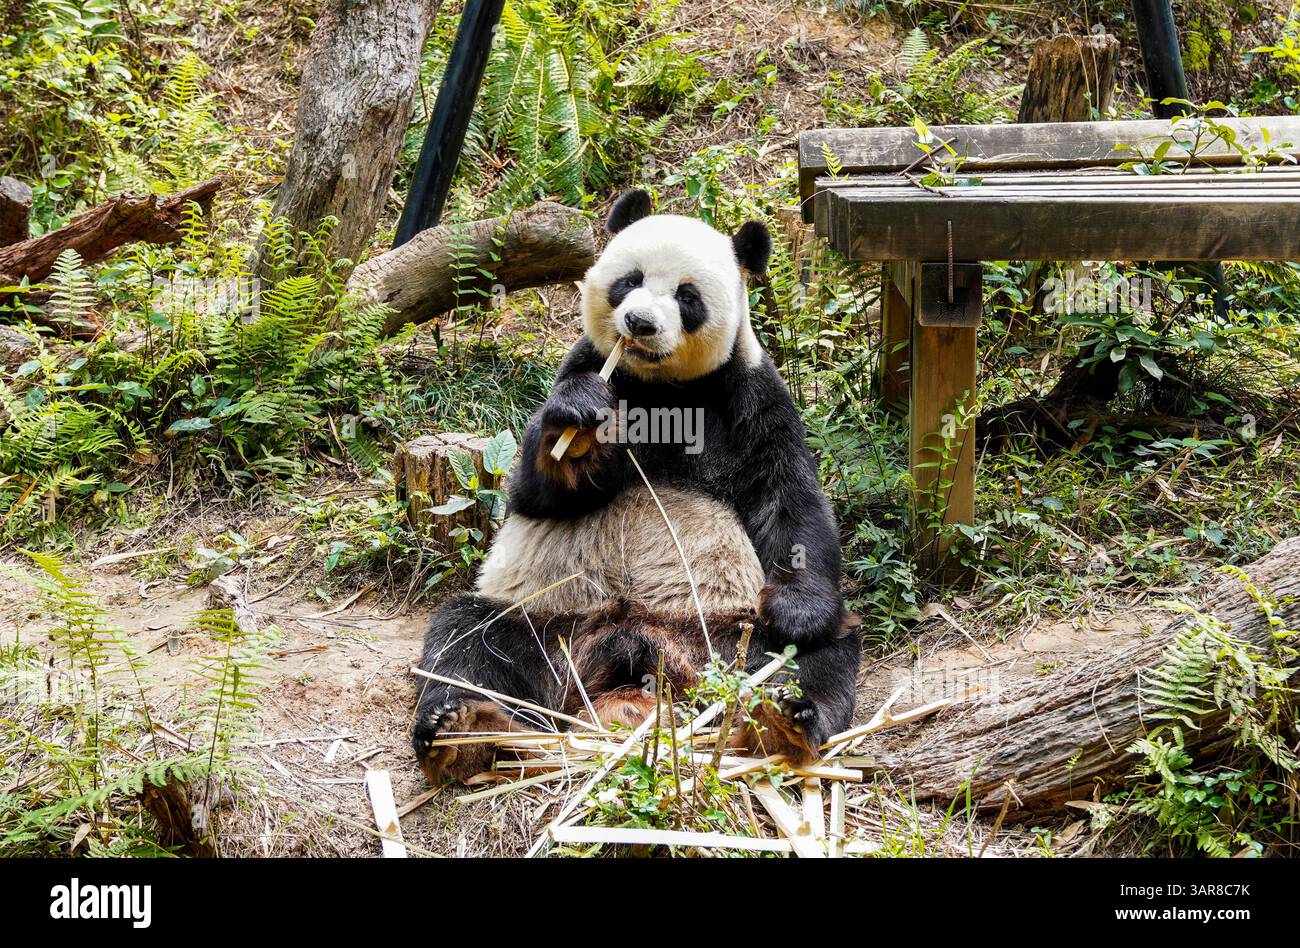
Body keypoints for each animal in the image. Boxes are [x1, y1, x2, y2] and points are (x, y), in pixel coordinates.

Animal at [413, 190, 861, 783]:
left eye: (687, 297)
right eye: (630, 280)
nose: (640, 323)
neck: (661, 388)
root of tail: (634, 662)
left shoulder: (751, 394)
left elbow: (789, 498)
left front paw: (798, 610)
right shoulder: (586, 365)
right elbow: (535, 490)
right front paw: (581, 430)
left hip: (727, 633)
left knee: (814, 656)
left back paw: (782, 721)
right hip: (547, 624)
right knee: (467, 642)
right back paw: (464, 730)